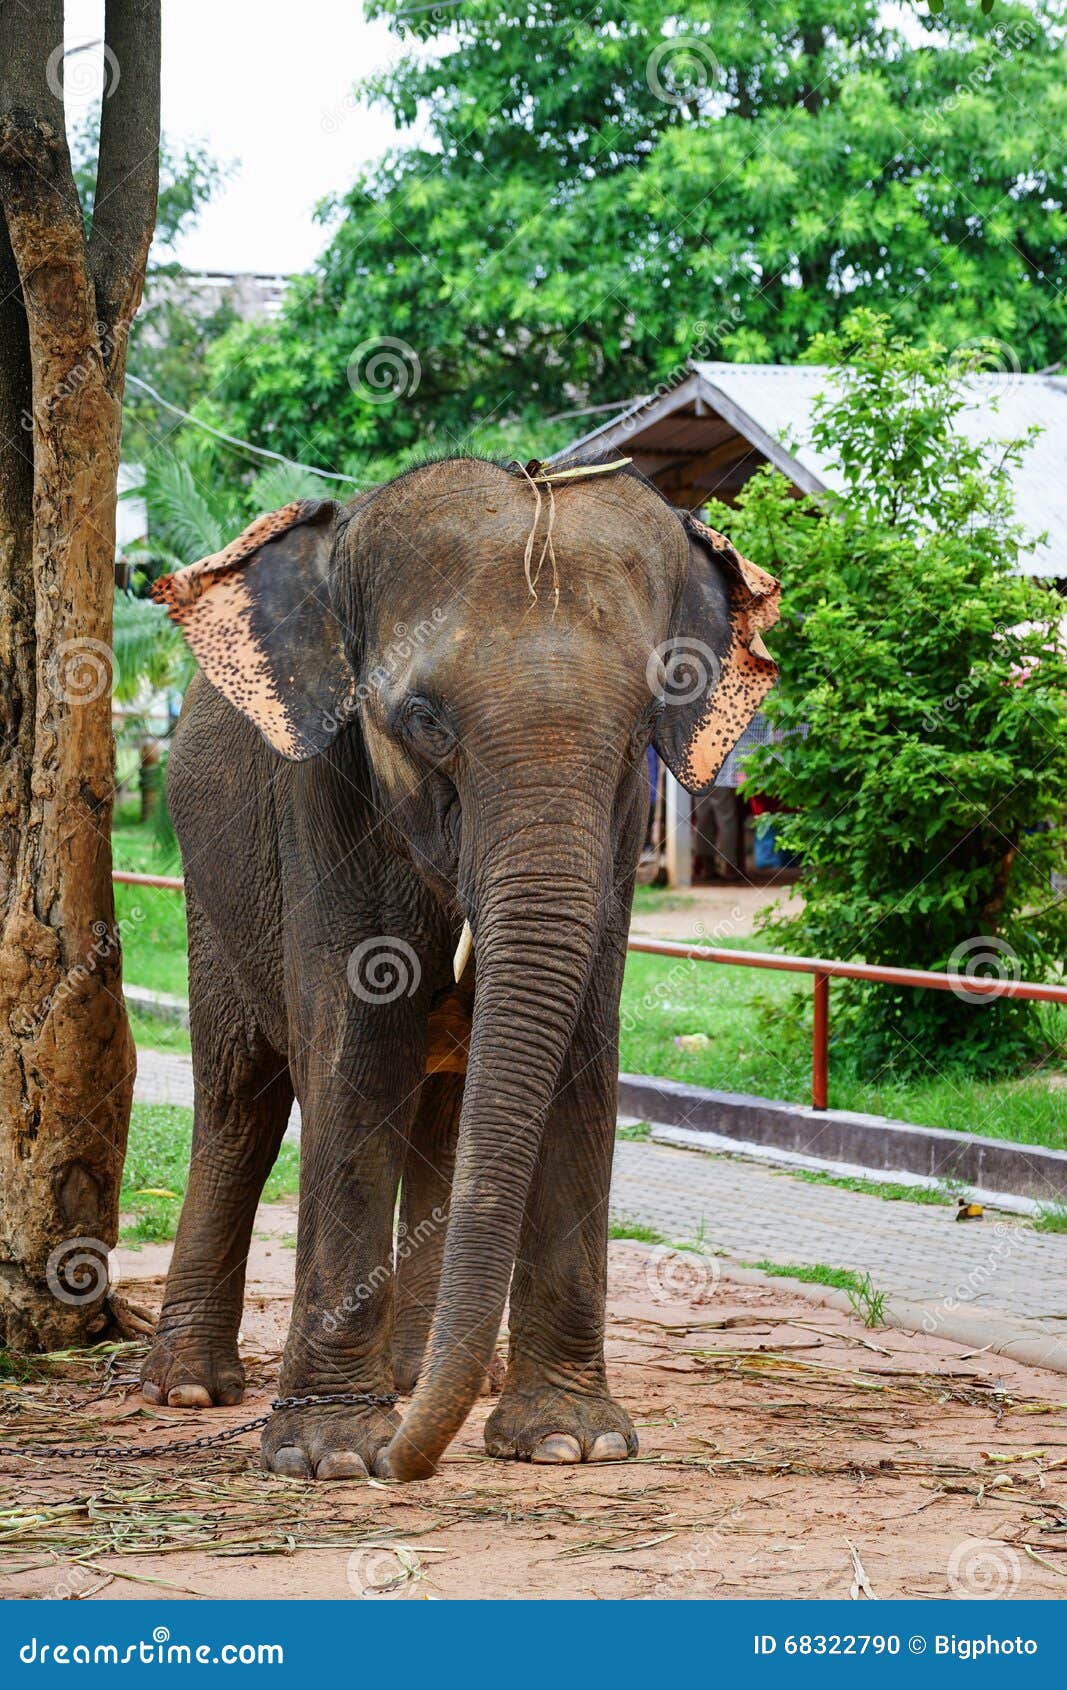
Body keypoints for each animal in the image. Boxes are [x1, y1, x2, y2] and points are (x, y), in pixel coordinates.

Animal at [142, 453, 779, 1481]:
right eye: (422, 721)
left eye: (641, 729)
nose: (409, 1464)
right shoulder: (322, 794)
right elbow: (356, 1054)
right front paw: (331, 1454)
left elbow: (581, 1056)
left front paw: (569, 1442)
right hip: (207, 889)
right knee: (240, 1098)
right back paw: (194, 1391)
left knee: (439, 1113)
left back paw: (419, 1379)